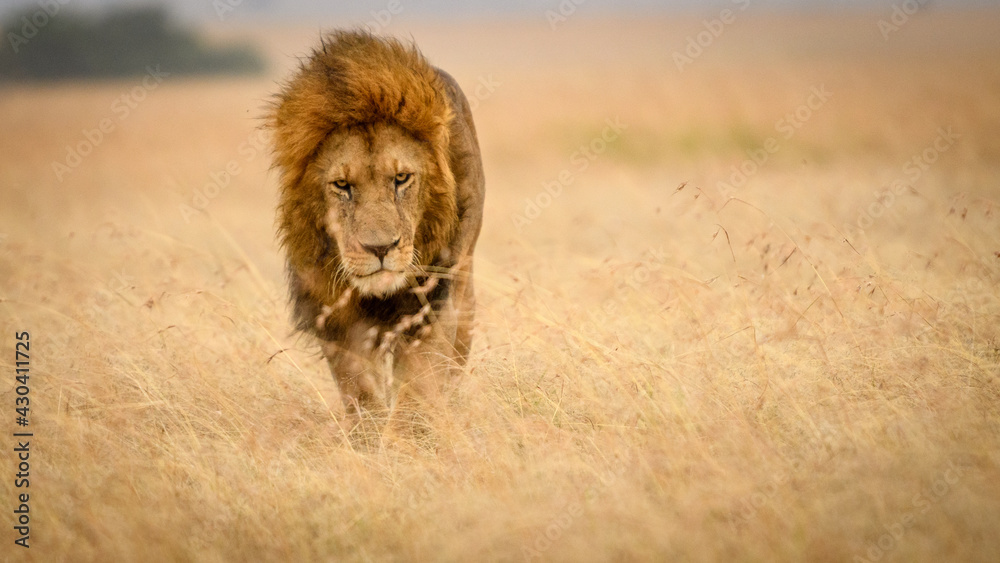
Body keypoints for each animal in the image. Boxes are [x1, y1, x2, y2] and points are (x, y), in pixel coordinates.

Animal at [268, 30, 485, 421]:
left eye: (401, 178)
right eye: (342, 185)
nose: (380, 248)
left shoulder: (430, 305)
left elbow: (418, 388)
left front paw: (413, 429)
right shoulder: (335, 315)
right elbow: (359, 391)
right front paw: (370, 430)